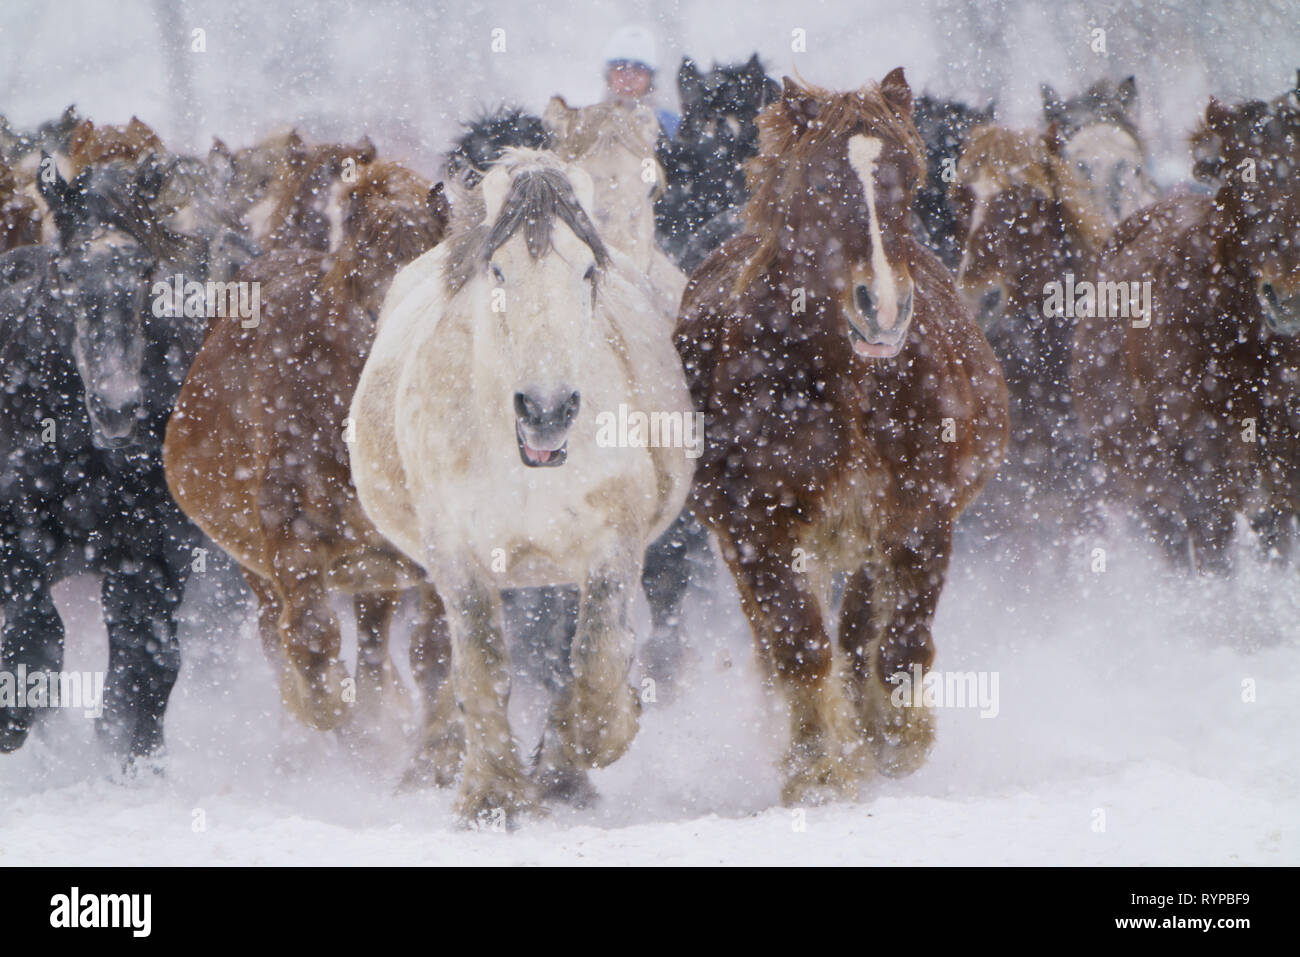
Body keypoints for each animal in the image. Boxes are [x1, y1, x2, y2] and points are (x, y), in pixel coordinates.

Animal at [0, 158, 205, 762]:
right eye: (67, 273)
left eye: (143, 270)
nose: (116, 407)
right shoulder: (15, 540)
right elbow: (37, 636)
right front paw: (14, 724)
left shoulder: (150, 559)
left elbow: (144, 672)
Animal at [164, 161, 450, 742]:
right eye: (372, 310)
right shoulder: (290, 537)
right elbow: (313, 645)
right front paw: (333, 726)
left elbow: (432, 654)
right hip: (257, 568)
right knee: (281, 636)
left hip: (374, 569)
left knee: (373, 637)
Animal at [348, 148, 694, 823]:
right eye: (498, 271)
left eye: (587, 270)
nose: (547, 409)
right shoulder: (456, 552)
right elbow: (482, 664)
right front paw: (493, 797)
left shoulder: (613, 540)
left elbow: (596, 656)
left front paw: (581, 748)